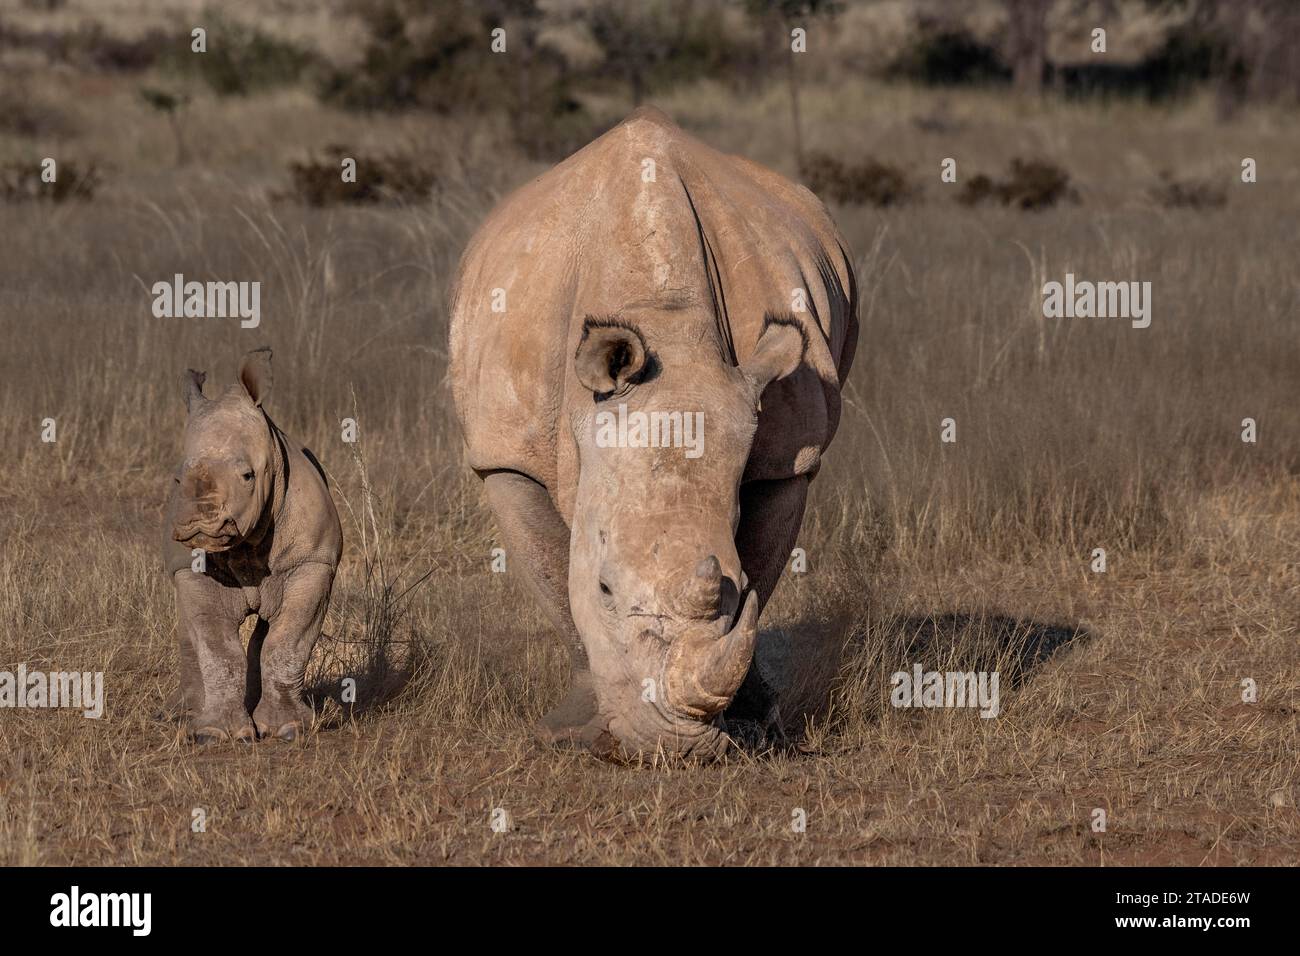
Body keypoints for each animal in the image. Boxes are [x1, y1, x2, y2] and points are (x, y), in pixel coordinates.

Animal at [162, 348, 342, 743]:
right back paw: (181, 715)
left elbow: (287, 642)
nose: (198, 526)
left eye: (248, 476)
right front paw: (216, 734)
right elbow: (217, 648)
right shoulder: (191, 567)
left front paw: (289, 730)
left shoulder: (313, 562)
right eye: (178, 479)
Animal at [450, 108, 858, 759]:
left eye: (734, 586)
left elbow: (762, 567)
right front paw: (572, 729)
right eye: (604, 588)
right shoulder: (504, 451)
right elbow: (553, 573)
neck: (668, 326)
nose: (677, 746)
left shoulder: (789, 454)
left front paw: (754, 724)